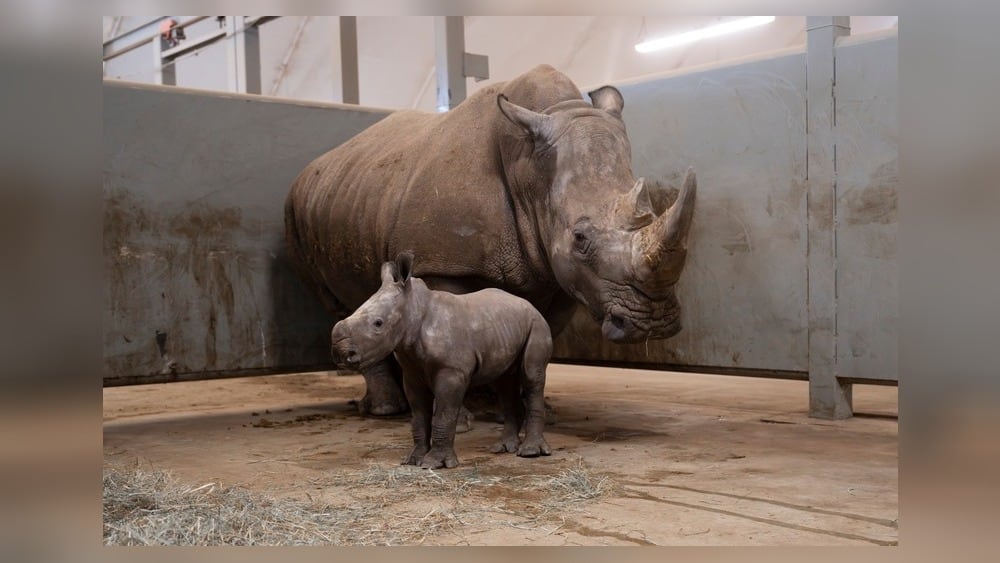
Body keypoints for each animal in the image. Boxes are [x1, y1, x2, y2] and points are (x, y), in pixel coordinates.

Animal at [286, 64, 696, 416]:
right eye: (579, 238)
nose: (655, 323)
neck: (528, 170)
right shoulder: (443, 263)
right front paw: (464, 412)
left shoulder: (560, 277)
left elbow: (541, 332)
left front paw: (521, 407)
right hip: (294, 215)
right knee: (337, 303)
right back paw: (388, 410)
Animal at [331, 252, 552, 469]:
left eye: (378, 323)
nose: (342, 353)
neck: (414, 310)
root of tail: (528, 303)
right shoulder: (412, 372)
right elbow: (419, 416)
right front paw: (414, 460)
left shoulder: (451, 371)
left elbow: (443, 416)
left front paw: (434, 464)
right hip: (506, 326)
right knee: (504, 383)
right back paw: (503, 448)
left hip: (537, 324)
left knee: (531, 377)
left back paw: (530, 453)